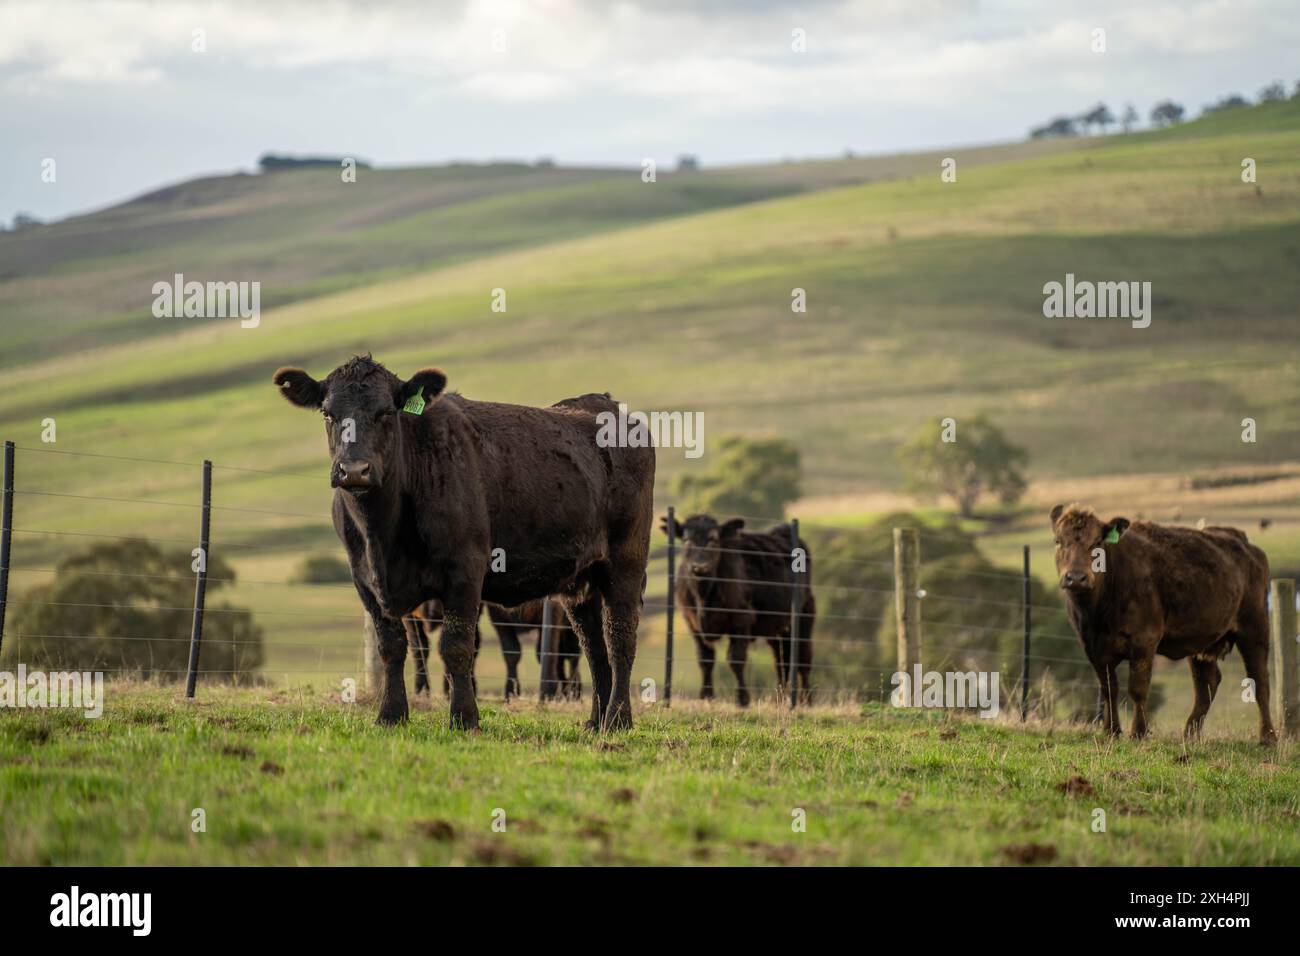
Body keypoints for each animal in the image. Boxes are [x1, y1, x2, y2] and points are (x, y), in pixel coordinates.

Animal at [273, 355, 655, 731]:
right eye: (328, 413)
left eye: (386, 412)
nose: (354, 470)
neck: (381, 535)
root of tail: (605, 404)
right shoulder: (365, 580)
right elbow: (392, 647)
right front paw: (391, 715)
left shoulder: (465, 569)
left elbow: (456, 647)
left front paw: (464, 717)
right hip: (580, 581)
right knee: (593, 646)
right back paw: (597, 721)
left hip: (625, 562)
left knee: (619, 638)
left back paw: (619, 718)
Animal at [661, 513, 814, 706]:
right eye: (687, 539)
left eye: (713, 539)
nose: (700, 566)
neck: (703, 597)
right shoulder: (692, 623)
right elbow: (705, 659)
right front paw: (706, 696)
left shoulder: (741, 620)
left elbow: (736, 659)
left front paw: (742, 699)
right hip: (776, 627)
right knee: (781, 660)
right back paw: (779, 698)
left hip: (804, 615)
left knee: (803, 658)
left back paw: (805, 700)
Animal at [1051, 503, 1276, 743]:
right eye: (1058, 541)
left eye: (1097, 542)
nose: (1076, 577)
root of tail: (1246, 544)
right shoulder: (1095, 650)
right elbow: (1108, 689)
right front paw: (1111, 731)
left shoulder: (1143, 643)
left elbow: (1138, 688)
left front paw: (1138, 732)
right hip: (1200, 643)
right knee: (1207, 684)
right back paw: (1190, 734)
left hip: (1254, 629)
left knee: (1260, 681)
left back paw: (1268, 737)